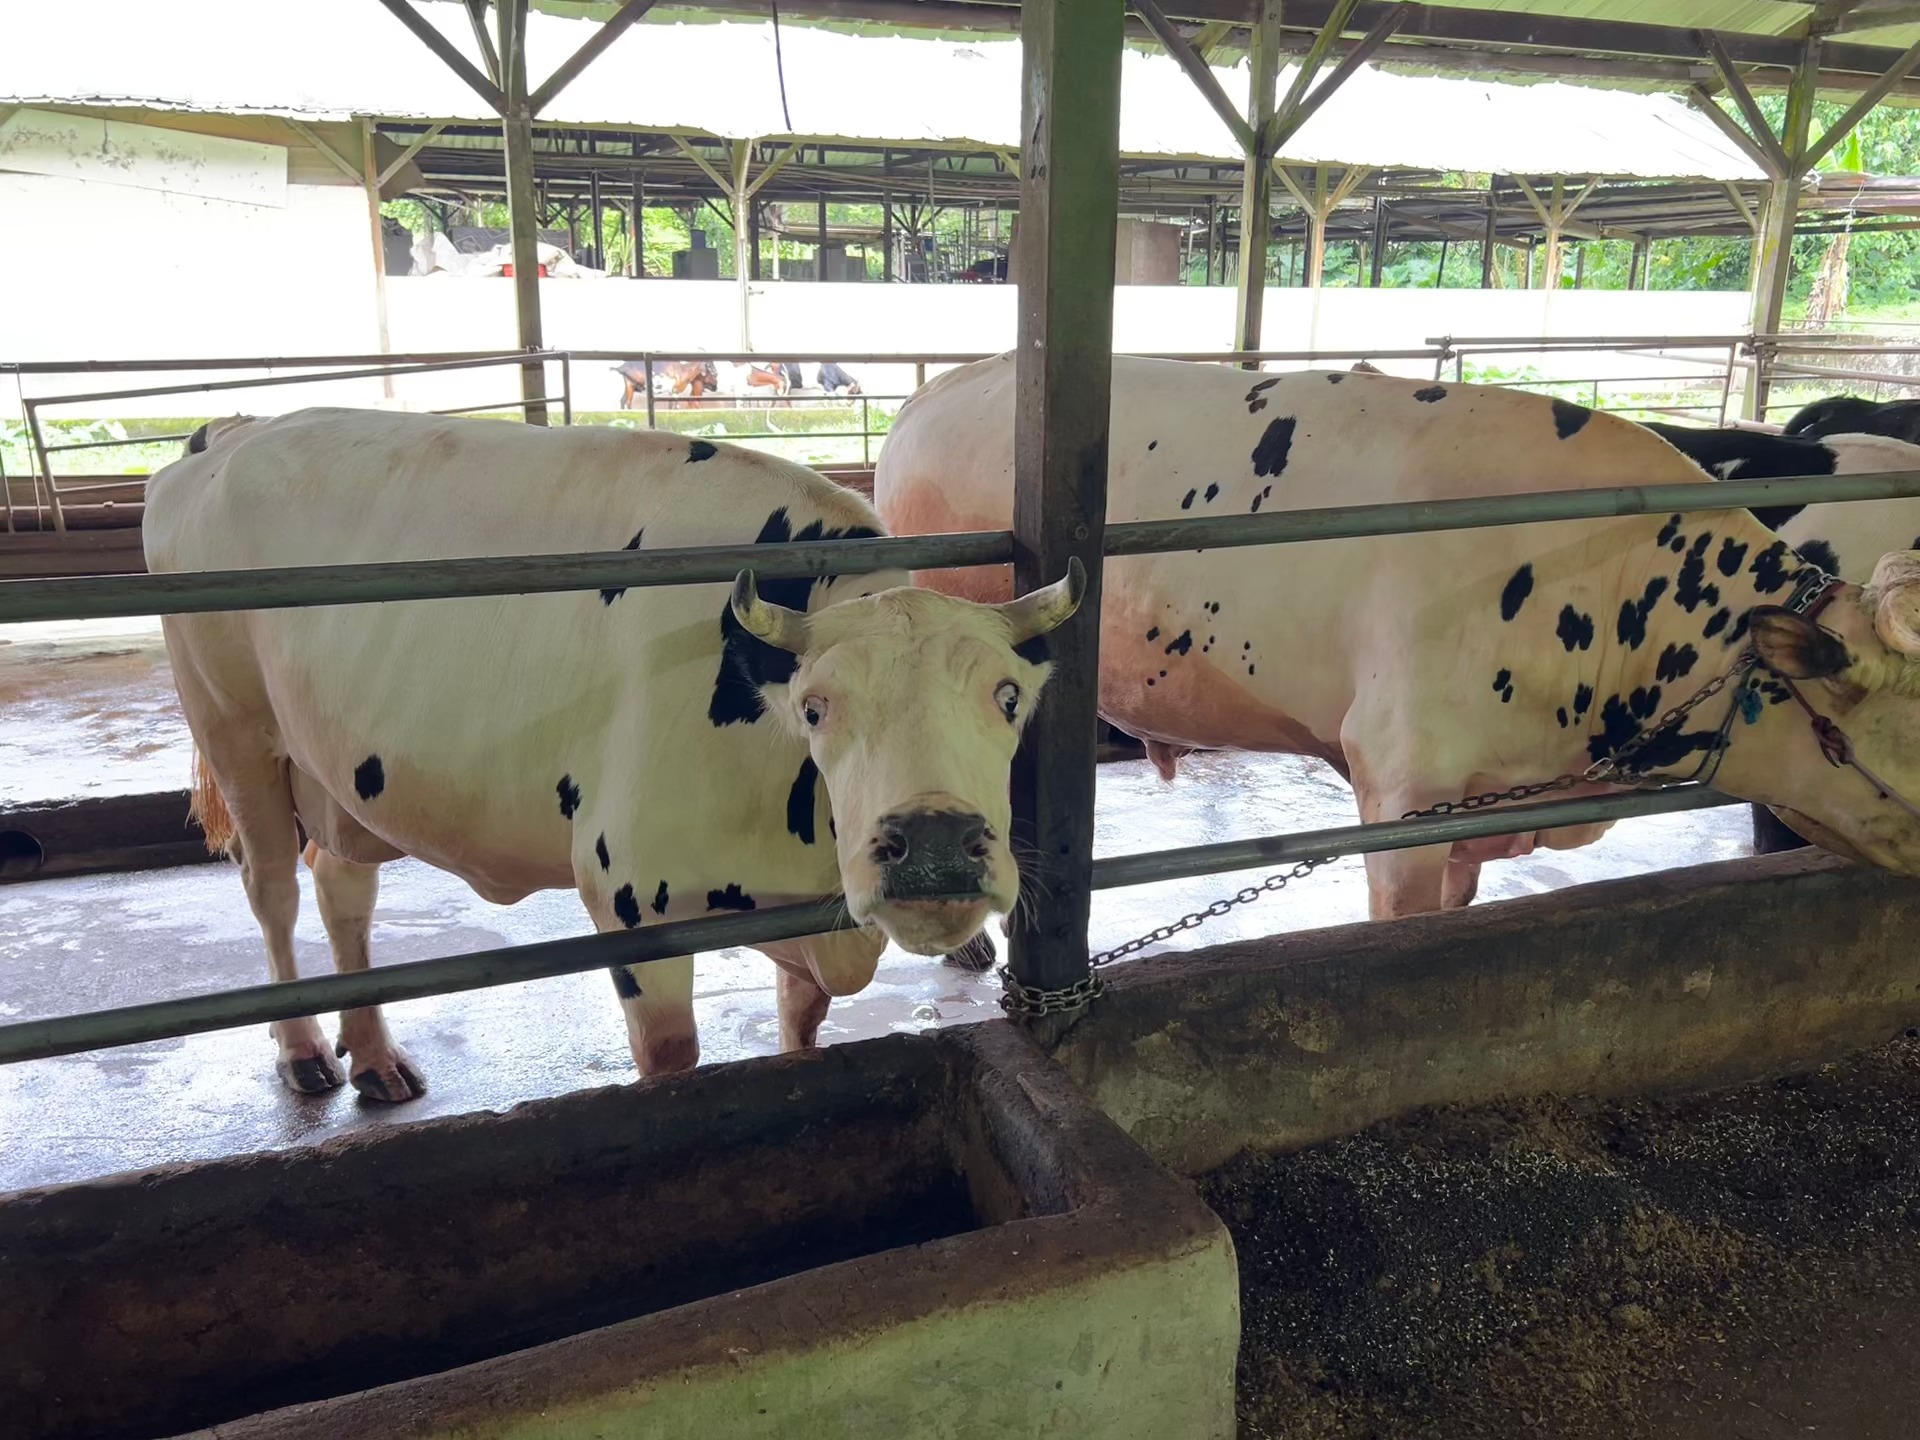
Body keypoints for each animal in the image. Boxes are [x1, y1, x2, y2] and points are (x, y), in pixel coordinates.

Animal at [147, 409, 1081, 1101]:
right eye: (816, 708)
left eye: (1009, 697)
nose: (933, 845)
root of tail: (226, 435)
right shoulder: (632, 897)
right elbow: (670, 1057)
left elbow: (801, 1027)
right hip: (231, 725)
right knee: (271, 887)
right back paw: (303, 1050)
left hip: (342, 773)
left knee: (344, 887)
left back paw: (374, 1056)